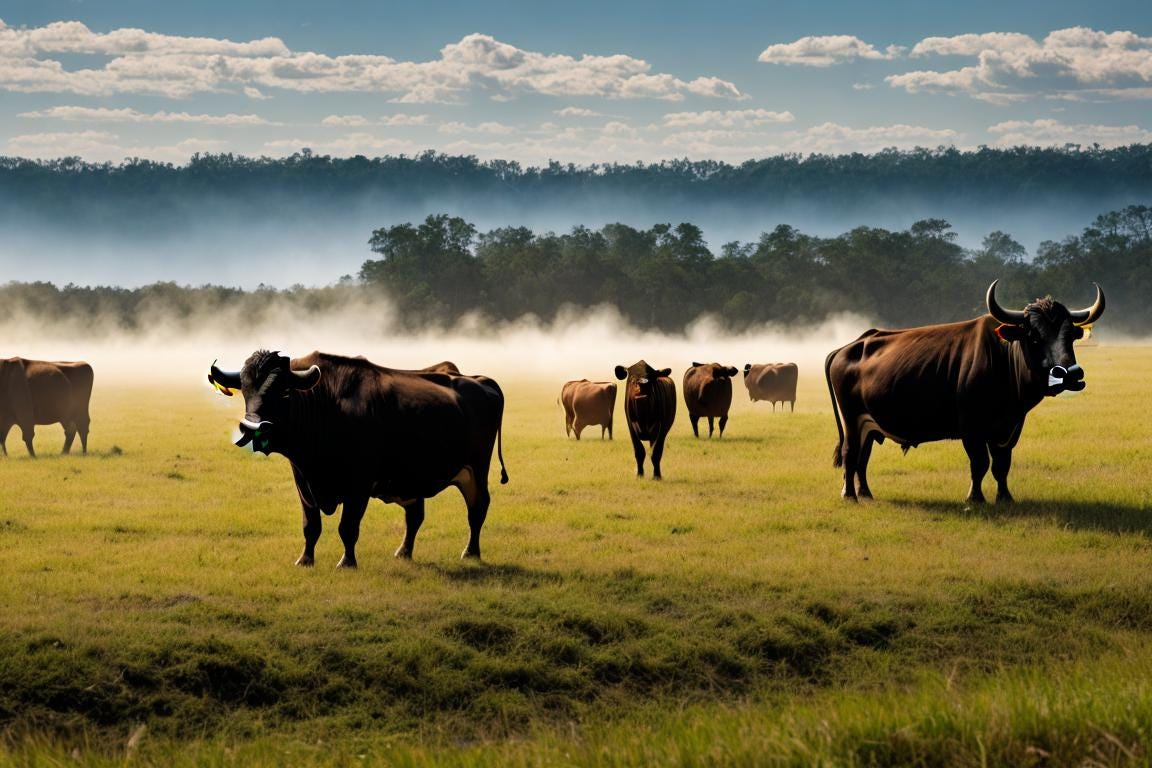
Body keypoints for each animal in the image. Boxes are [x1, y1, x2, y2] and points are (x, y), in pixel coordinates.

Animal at [208, 350, 508, 567]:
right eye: (245, 390)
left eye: (283, 391)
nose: (252, 427)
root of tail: (479, 380)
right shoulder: (303, 482)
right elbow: (310, 526)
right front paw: (305, 559)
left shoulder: (359, 487)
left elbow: (348, 527)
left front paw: (347, 562)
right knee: (415, 515)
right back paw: (404, 552)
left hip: (476, 471)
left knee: (477, 508)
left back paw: (471, 552)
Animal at [825, 281, 1104, 503]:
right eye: (1034, 336)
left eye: (1070, 336)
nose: (1071, 374)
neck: (1003, 362)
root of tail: (849, 346)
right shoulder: (971, 427)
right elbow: (980, 463)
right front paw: (975, 497)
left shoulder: (1011, 427)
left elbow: (1002, 464)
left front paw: (1005, 497)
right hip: (852, 420)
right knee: (851, 454)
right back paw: (850, 495)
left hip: (870, 425)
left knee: (863, 458)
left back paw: (865, 493)